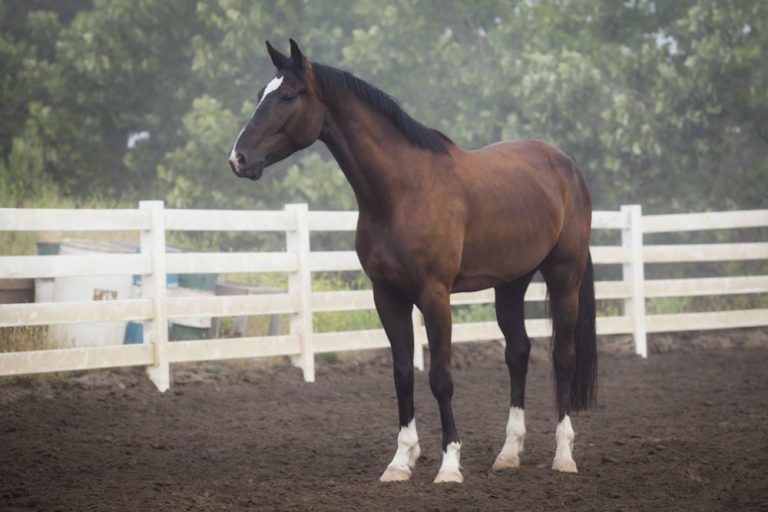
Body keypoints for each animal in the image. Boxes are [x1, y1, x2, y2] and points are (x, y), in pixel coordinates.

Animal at [228, 39, 597, 484]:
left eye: (287, 96)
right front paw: (401, 460)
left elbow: (440, 377)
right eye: (260, 95)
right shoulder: (387, 295)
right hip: (511, 282)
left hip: (564, 276)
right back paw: (509, 453)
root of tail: (566, 165)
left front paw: (449, 464)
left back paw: (564, 455)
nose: (238, 159)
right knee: (518, 354)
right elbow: (403, 373)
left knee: (563, 357)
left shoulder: (435, 295)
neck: (402, 190)